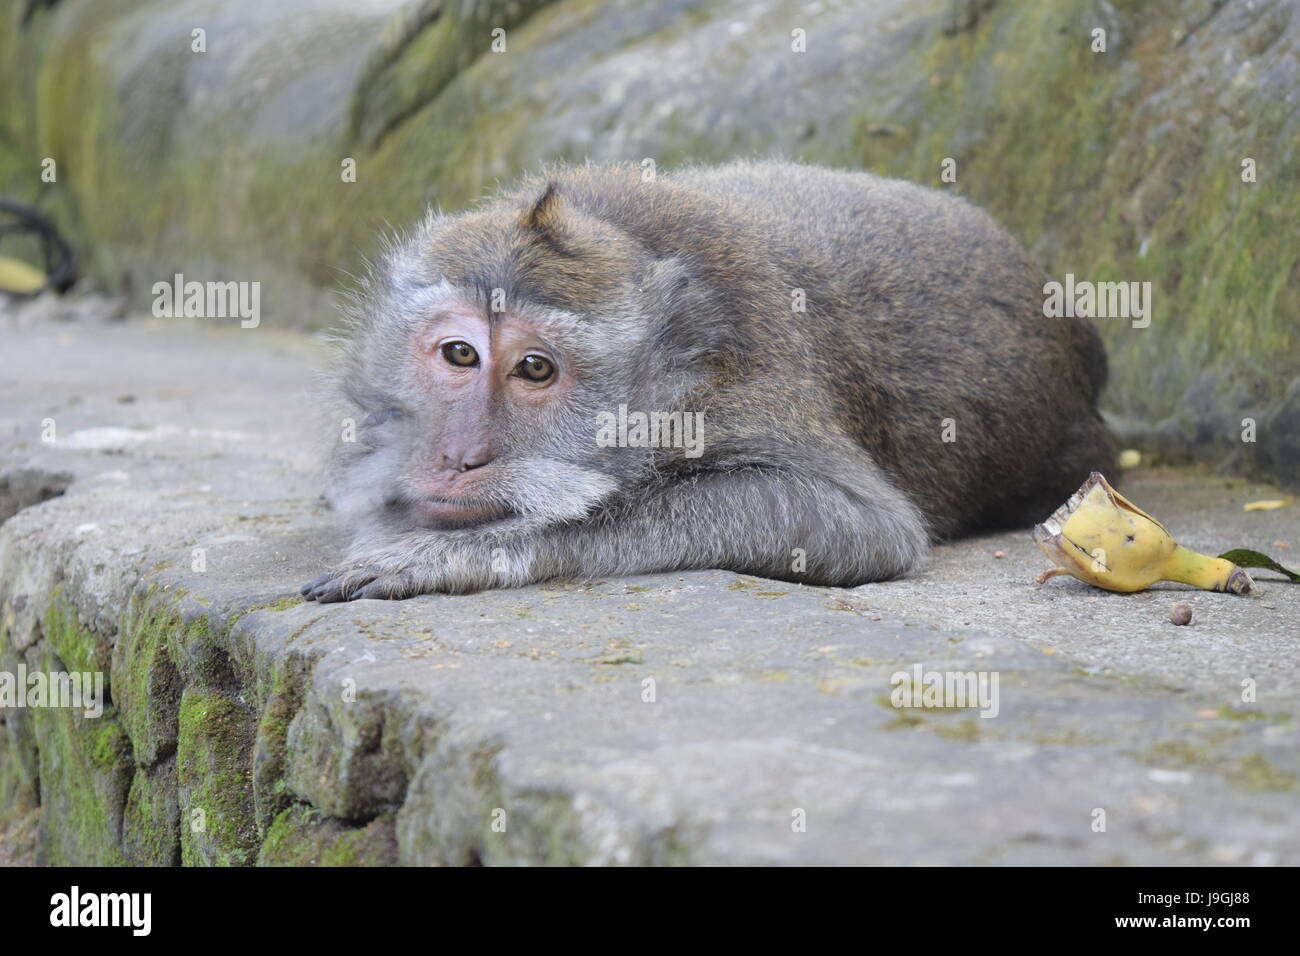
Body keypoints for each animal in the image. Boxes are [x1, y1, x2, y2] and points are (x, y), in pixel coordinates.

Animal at [301, 160, 1113, 602]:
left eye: (535, 368)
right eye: (459, 355)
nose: (458, 456)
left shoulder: (750, 385)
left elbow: (858, 523)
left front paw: (450, 555)